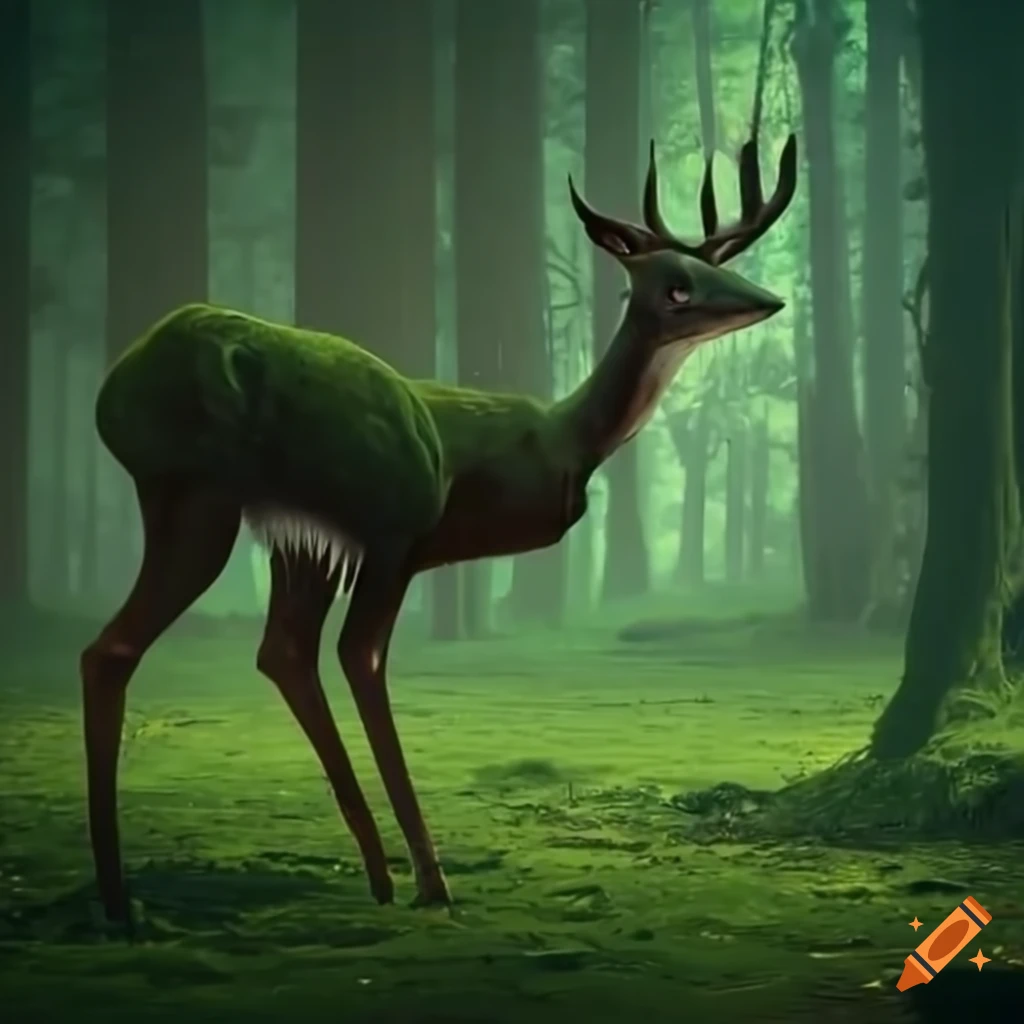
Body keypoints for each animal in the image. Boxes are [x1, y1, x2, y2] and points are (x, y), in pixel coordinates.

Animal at [81, 132, 797, 926]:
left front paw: (395, 876)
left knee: (264, 653)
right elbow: (362, 657)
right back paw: (120, 904)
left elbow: (292, 655)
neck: (559, 444)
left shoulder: (314, 540)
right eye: (673, 287)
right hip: (202, 494)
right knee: (116, 649)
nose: (768, 301)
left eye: (713, 267)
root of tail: (115, 390)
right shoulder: (396, 534)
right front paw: (433, 881)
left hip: (240, 517)